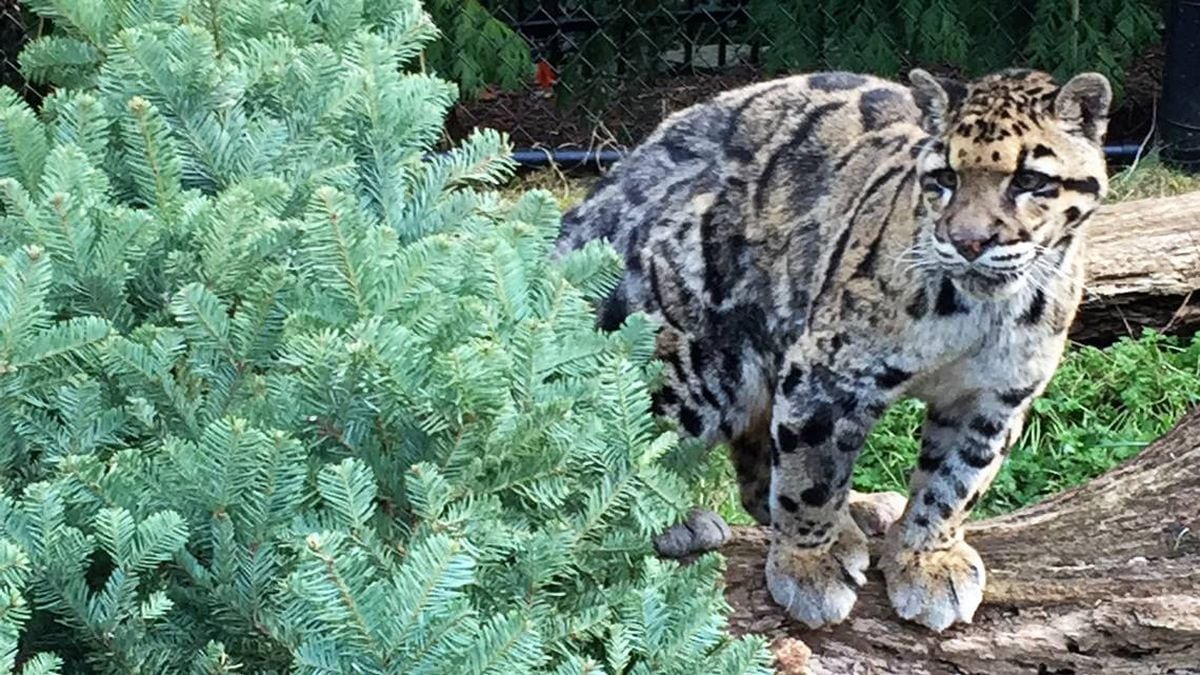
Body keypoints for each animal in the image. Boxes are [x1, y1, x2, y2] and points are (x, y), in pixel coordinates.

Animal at [554, 67, 1112, 632]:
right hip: (701, 355)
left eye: (1029, 181)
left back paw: (861, 508)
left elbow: (956, 482)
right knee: (613, 439)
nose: (967, 241)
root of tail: (638, 160)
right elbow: (811, 473)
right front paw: (809, 566)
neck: (983, 314)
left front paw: (927, 558)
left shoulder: (994, 398)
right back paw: (672, 520)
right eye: (944, 179)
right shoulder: (829, 373)